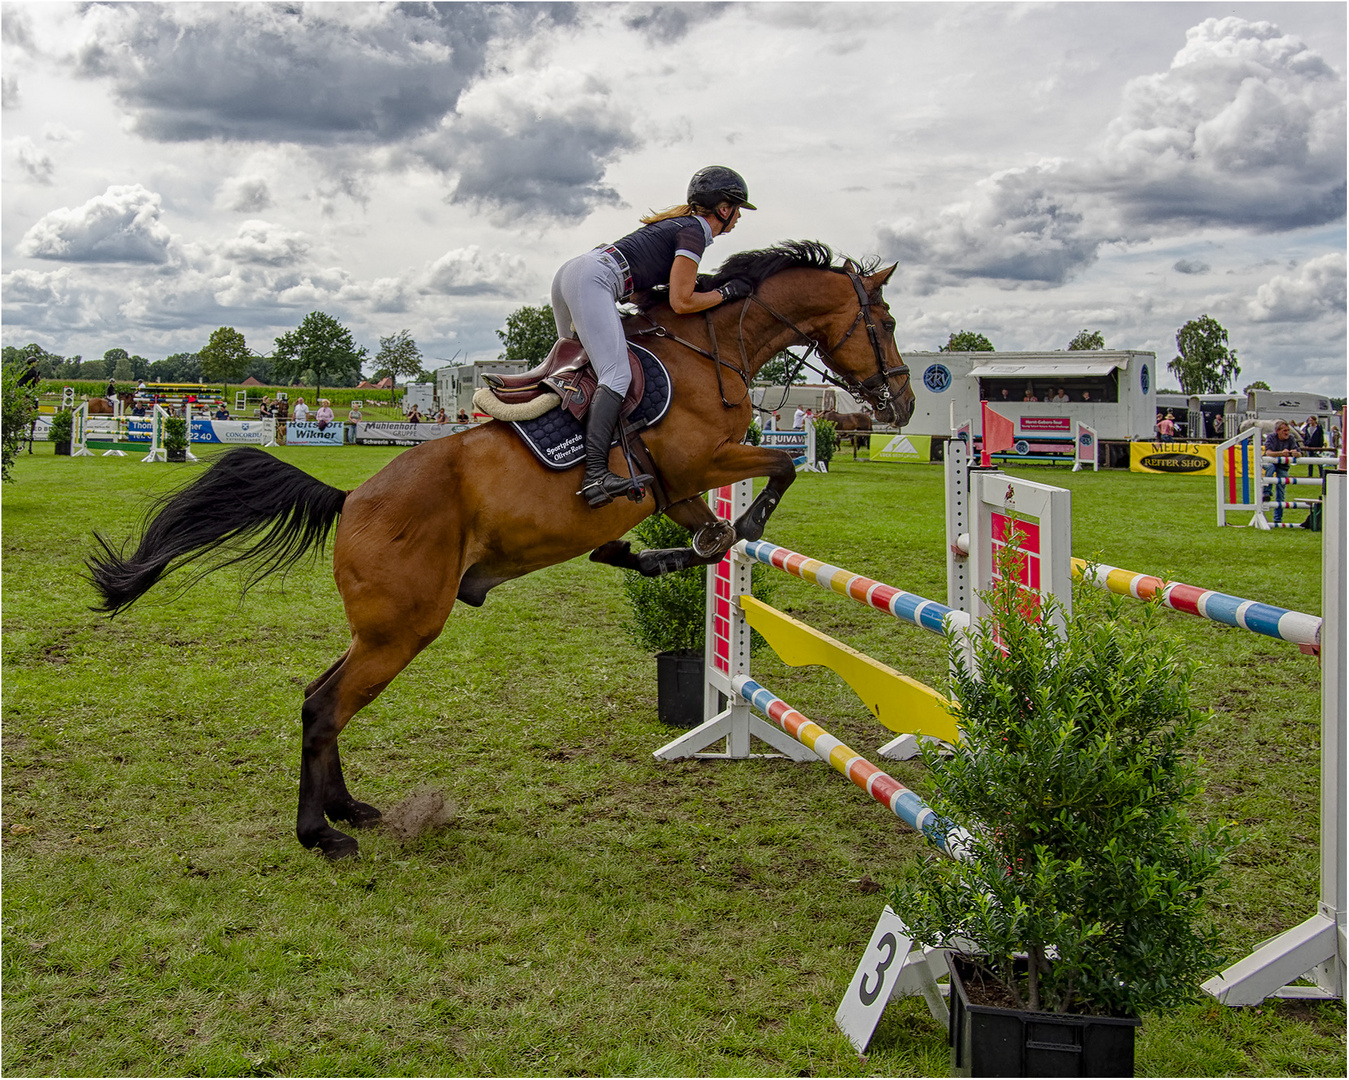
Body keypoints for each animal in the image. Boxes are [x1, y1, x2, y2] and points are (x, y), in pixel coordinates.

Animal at [87, 240, 917, 857]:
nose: (903, 401)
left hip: (379, 629)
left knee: (318, 699)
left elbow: (702, 528)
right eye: (883, 318)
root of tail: (351, 498)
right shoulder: (697, 463)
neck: (706, 349)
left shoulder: (675, 488)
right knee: (326, 706)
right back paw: (319, 834)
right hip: (403, 628)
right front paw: (736, 532)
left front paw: (664, 553)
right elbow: (777, 468)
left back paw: (349, 810)